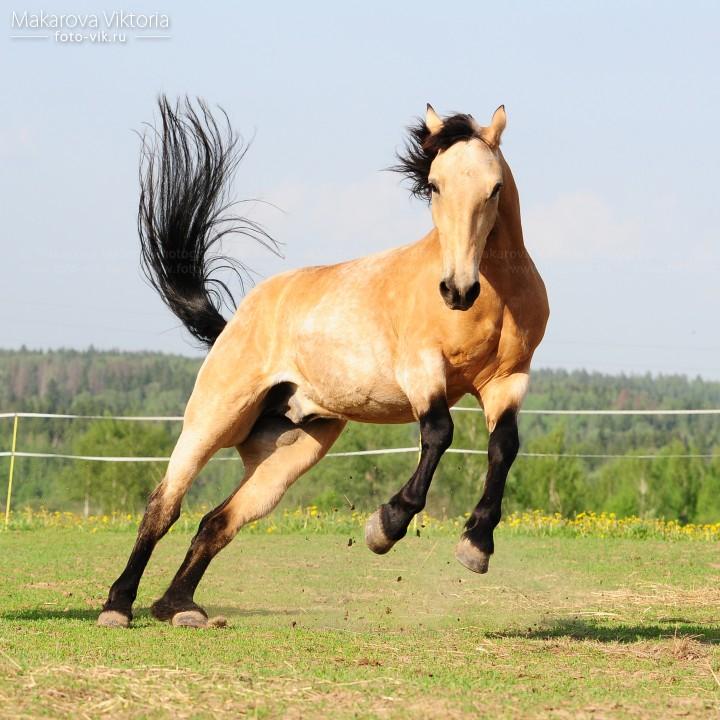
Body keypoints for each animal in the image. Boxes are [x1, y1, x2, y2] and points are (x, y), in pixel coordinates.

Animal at [97, 98, 552, 628]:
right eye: (435, 184)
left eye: (494, 187)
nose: (457, 290)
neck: (494, 299)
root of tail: (238, 319)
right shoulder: (422, 371)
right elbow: (440, 434)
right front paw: (387, 525)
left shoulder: (507, 381)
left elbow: (504, 447)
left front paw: (476, 543)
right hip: (212, 419)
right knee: (163, 505)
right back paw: (118, 605)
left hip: (287, 455)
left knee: (219, 520)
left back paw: (179, 606)